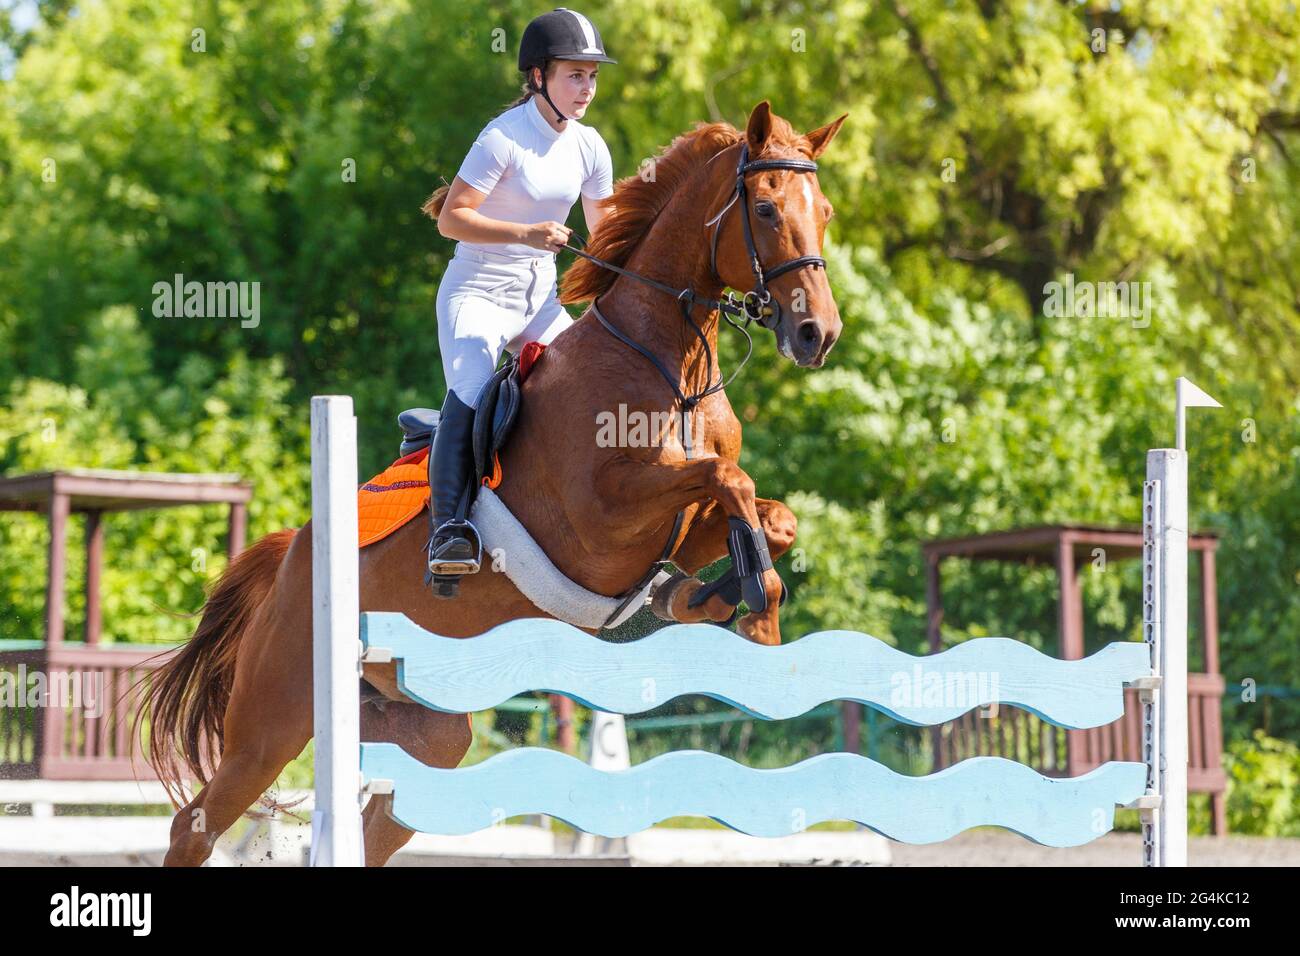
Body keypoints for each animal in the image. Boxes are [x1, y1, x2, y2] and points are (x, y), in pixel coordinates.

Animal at [147, 101, 846, 866]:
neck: (671, 367)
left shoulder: (675, 524)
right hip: (277, 717)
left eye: (825, 211)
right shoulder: (603, 519)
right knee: (197, 822)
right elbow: (728, 480)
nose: (818, 333)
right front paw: (760, 620)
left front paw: (715, 598)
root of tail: (290, 556)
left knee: (381, 814)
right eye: (766, 208)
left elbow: (763, 513)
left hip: (422, 724)